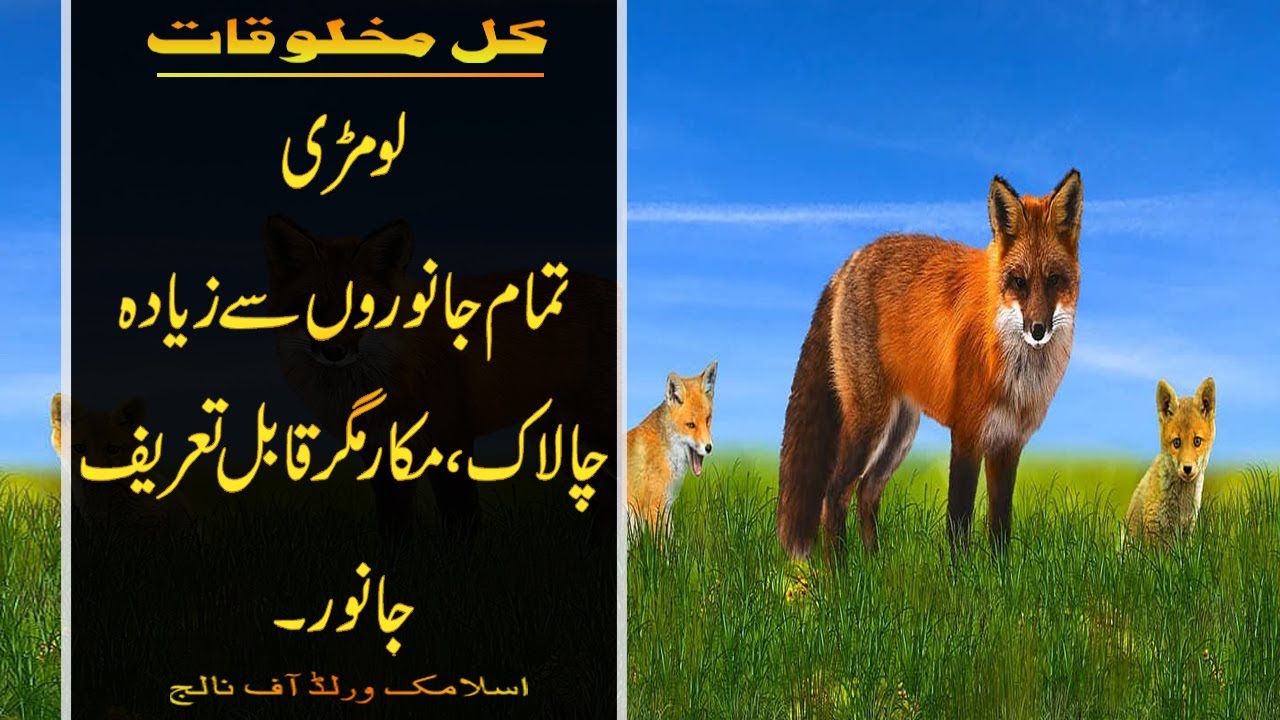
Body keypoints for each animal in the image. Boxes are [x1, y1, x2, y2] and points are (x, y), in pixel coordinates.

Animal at [263, 215, 617, 544]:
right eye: (314, 310)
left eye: (363, 310)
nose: (334, 351)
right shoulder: (381, 452)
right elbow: (395, 528)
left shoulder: (450, 439)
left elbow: (461, 520)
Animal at [626, 361, 717, 537]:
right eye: (691, 425)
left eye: (707, 420)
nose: (708, 448)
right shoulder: (654, 506)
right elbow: (661, 544)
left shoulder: (667, 505)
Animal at [777, 169, 1083, 561]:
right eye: (1019, 282)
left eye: (1054, 280)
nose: (1038, 330)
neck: (1016, 375)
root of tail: (852, 260)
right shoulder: (966, 435)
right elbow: (959, 520)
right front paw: (960, 574)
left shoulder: (1007, 445)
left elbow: (1000, 528)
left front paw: (1000, 575)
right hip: (869, 425)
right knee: (834, 495)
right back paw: (840, 572)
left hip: (900, 432)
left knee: (867, 492)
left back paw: (874, 564)